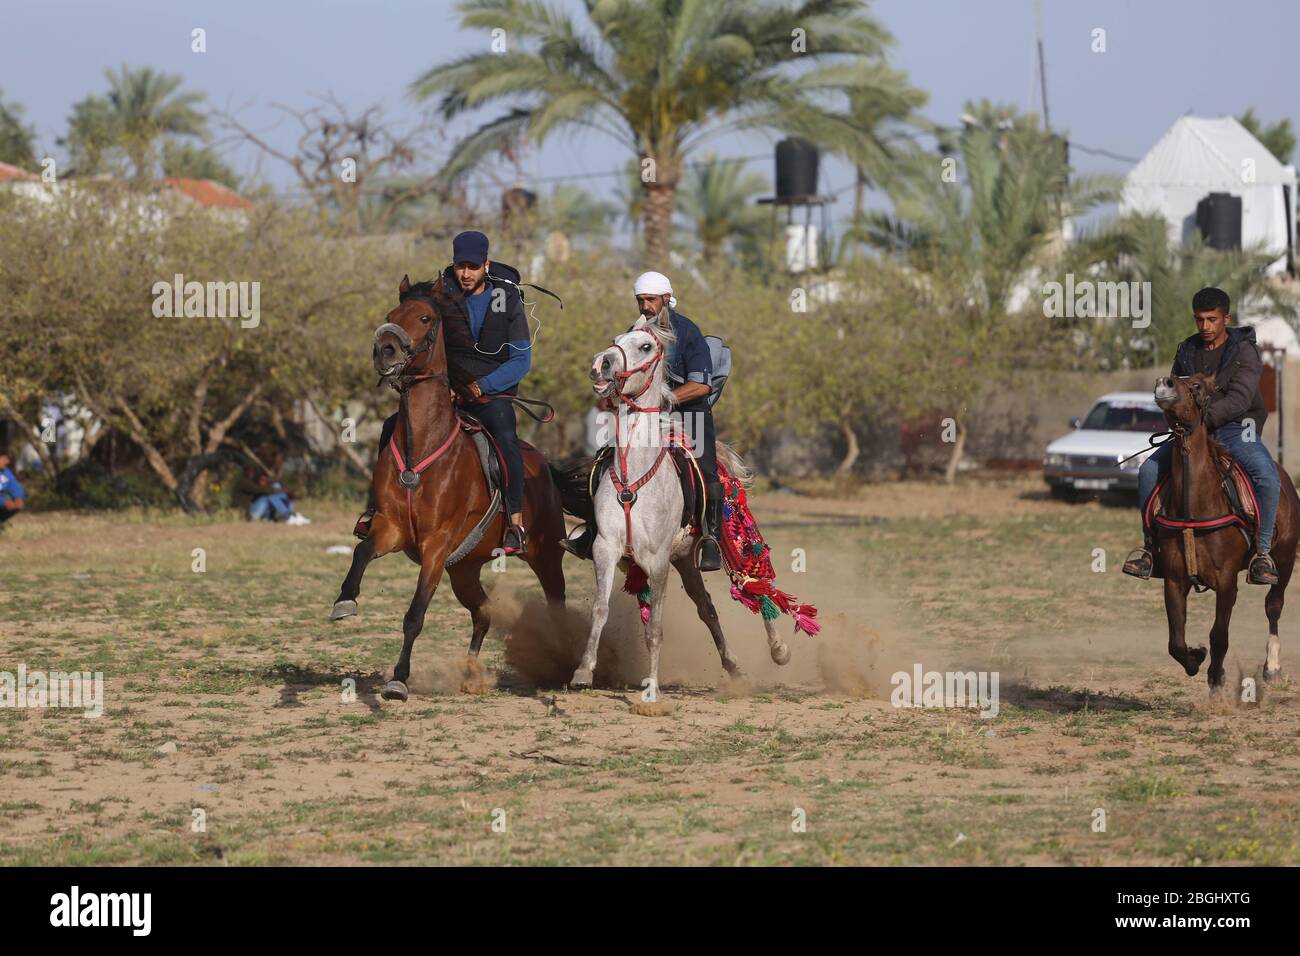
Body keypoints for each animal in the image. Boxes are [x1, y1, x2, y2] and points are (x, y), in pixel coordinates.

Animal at [330, 276, 567, 701]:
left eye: (425, 317)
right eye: (391, 314)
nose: (384, 349)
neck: (423, 445)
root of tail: (543, 463)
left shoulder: (435, 547)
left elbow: (415, 614)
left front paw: (398, 680)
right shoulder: (391, 530)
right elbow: (361, 551)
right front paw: (345, 601)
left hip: (544, 555)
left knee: (556, 602)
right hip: (464, 571)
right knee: (483, 611)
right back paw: (471, 673)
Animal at [570, 313, 790, 702]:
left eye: (645, 346)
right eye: (616, 340)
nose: (601, 364)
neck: (634, 477)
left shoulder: (656, 560)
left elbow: (655, 627)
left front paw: (652, 688)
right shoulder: (605, 548)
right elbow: (600, 608)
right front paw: (584, 670)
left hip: (736, 544)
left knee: (757, 588)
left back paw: (778, 650)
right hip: (686, 560)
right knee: (708, 608)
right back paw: (734, 667)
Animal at [1150, 373, 1298, 689]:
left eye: (1196, 385)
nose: (1164, 382)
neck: (1195, 505)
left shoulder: (1227, 581)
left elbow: (1219, 636)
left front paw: (1216, 679)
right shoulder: (1173, 580)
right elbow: (1175, 642)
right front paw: (1195, 657)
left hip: (1285, 560)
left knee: (1274, 605)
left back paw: (1272, 666)